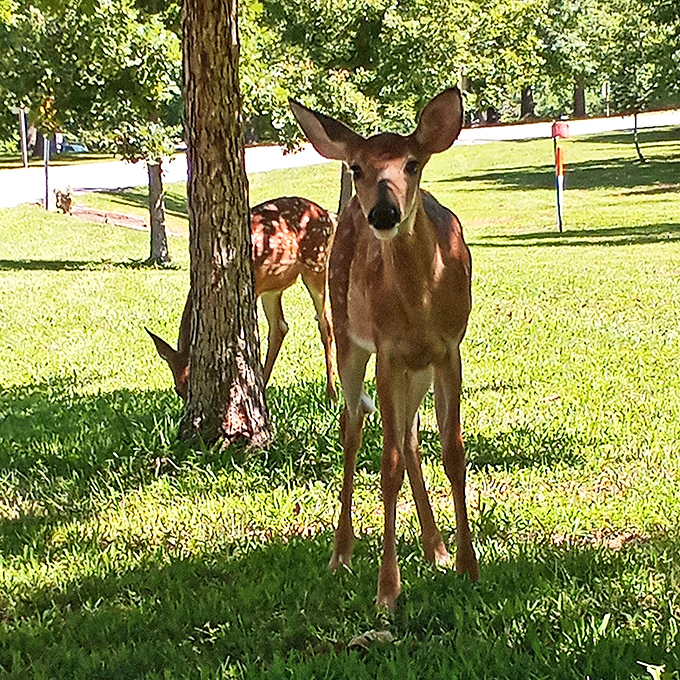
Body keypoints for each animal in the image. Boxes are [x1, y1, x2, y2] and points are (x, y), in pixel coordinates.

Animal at [146, 196, 337, 402]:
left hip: (316, 264)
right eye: (179, 390)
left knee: (325, 323)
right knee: (280, 327)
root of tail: (327, 214)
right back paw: (262, 385)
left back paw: (331, 394)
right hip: (273, 286)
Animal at [290, 88, 479, 608]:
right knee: (353, 429)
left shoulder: (449, 349)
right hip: (349, 336)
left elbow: (453, 452)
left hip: (417, 370)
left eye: (412, 164)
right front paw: (387, 592)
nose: (384, 212)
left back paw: (436, 548)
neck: (420, 302)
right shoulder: (388, 351)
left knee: (410, 437)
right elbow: (387, 465)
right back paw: (341, 553)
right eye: (357, 168)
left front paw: (468, 566)